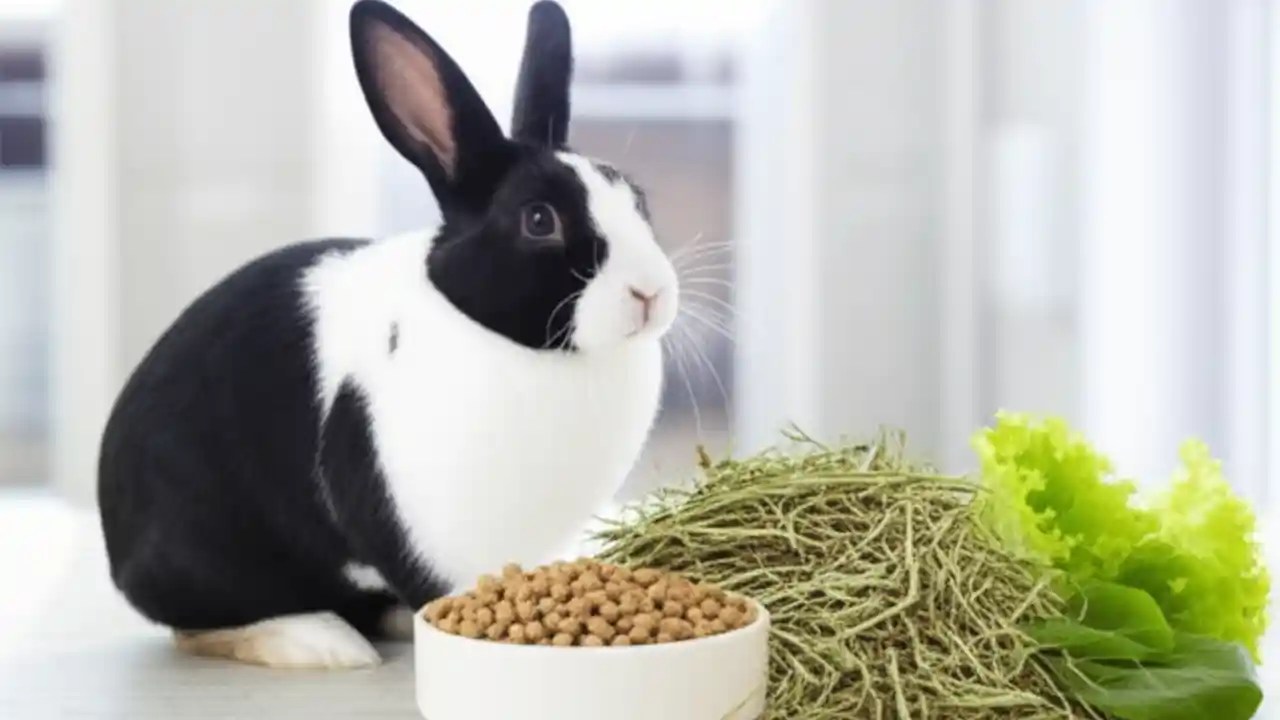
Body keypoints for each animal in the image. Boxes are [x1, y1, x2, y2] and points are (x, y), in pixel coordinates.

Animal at [97, 0, 678, 669]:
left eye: (638, 200)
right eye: (539, 220)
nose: (650, 294)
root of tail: (116, 553)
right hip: (209, 554)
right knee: (198, 625)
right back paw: (324, 643)